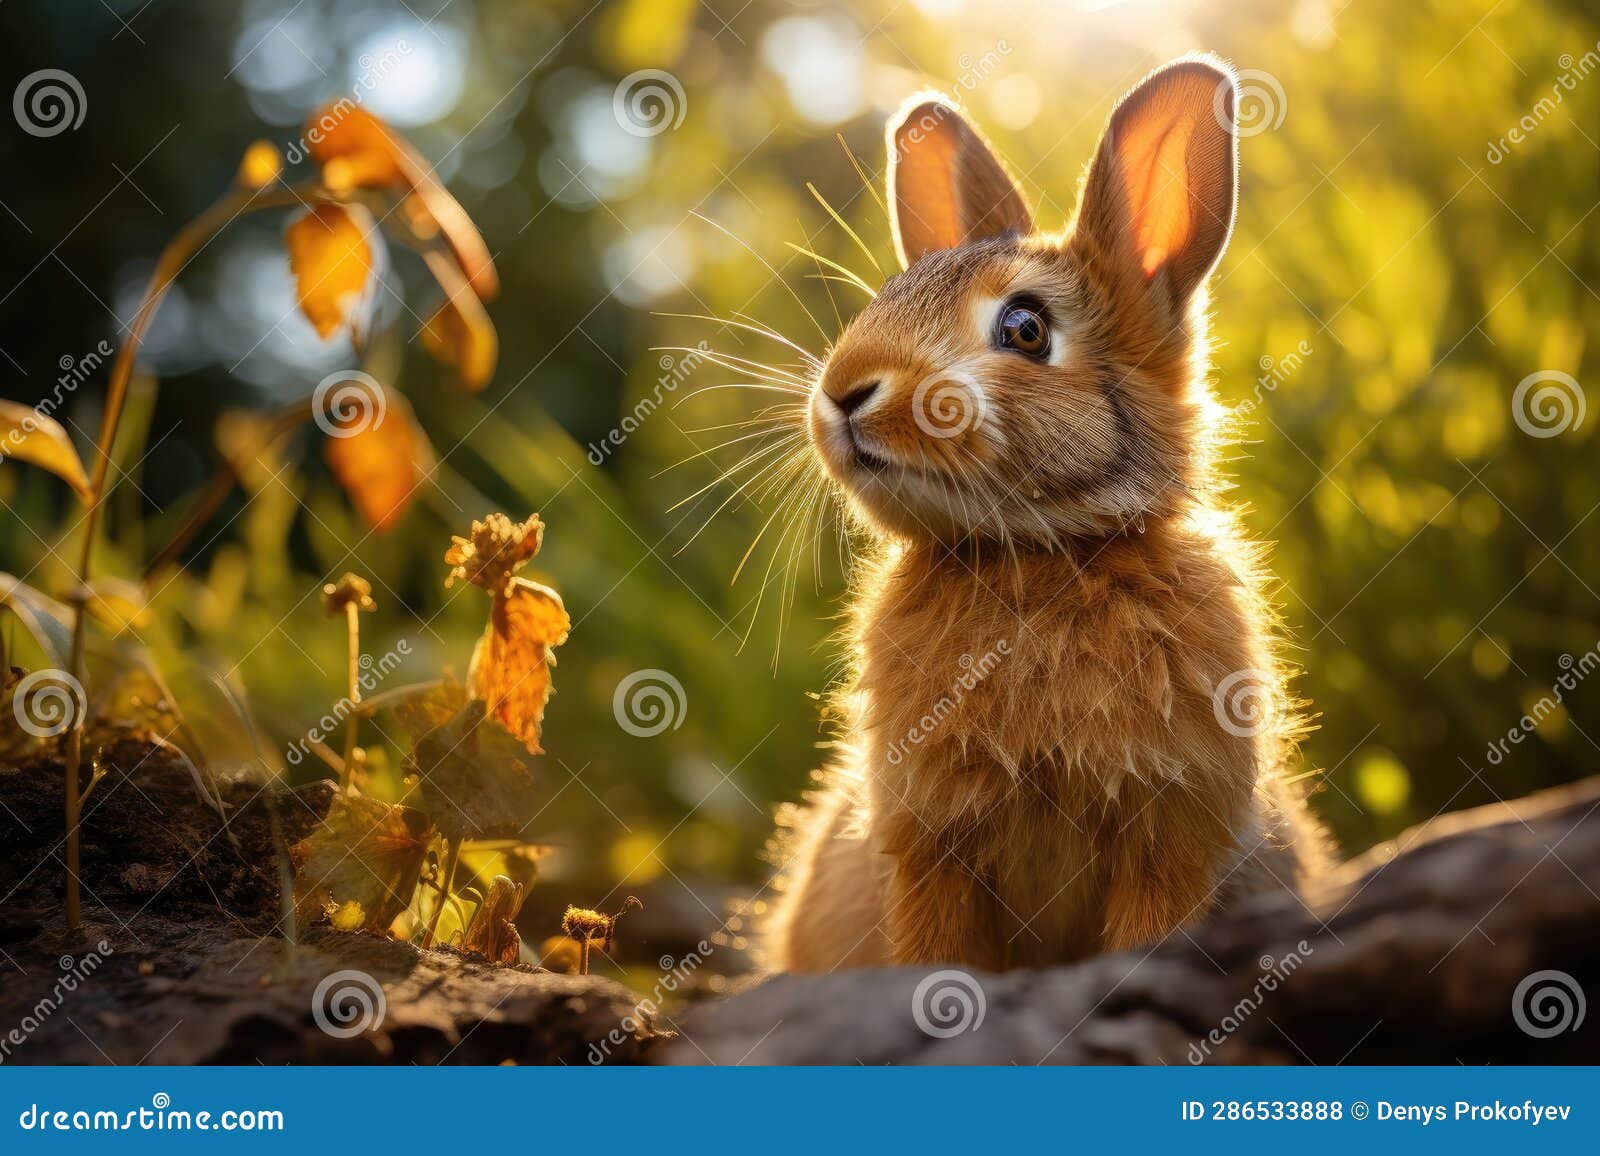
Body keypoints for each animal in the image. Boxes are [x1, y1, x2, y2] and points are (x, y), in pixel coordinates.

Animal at [761, 56, 1332, 974]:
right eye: (885, 296)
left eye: (1025, 328)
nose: (841, 392)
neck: (1036, 555)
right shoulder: (931, 852)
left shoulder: (1168, 837)